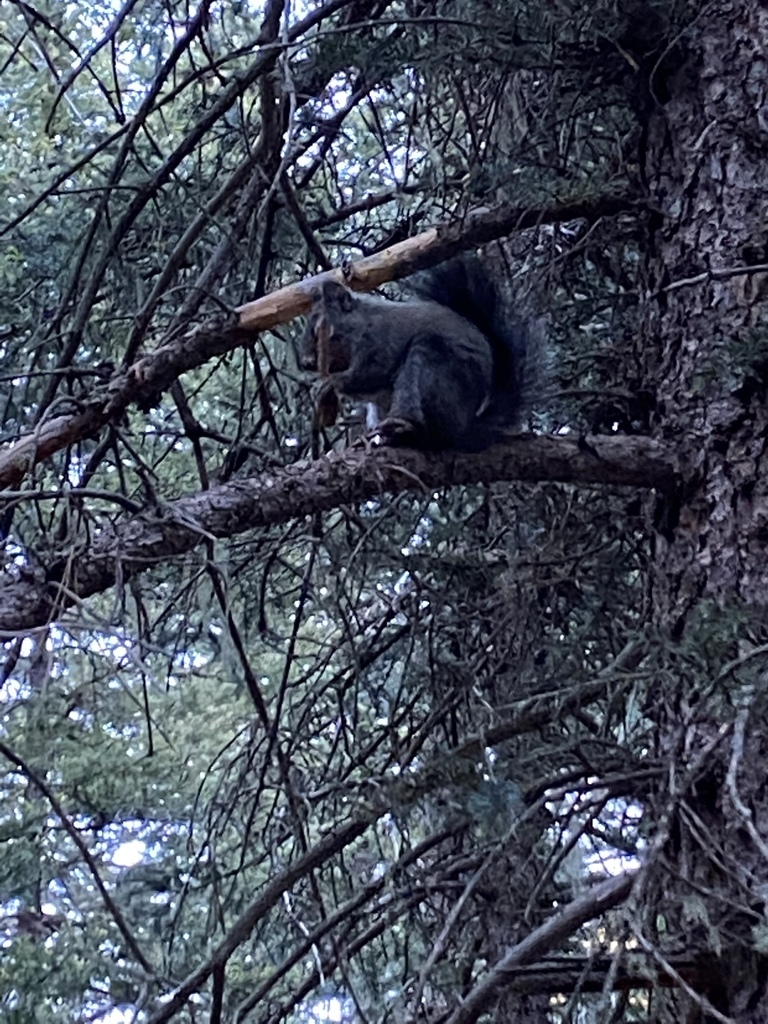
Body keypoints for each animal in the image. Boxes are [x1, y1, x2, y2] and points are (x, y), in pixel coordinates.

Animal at [300, 255, 532, 450]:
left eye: (320, 331)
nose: (306, 363)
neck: (362, 323)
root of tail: (468, 428)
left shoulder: (382, 343)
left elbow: (370, 375)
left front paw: (326, 386)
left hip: (433, 363)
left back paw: (403, 428)